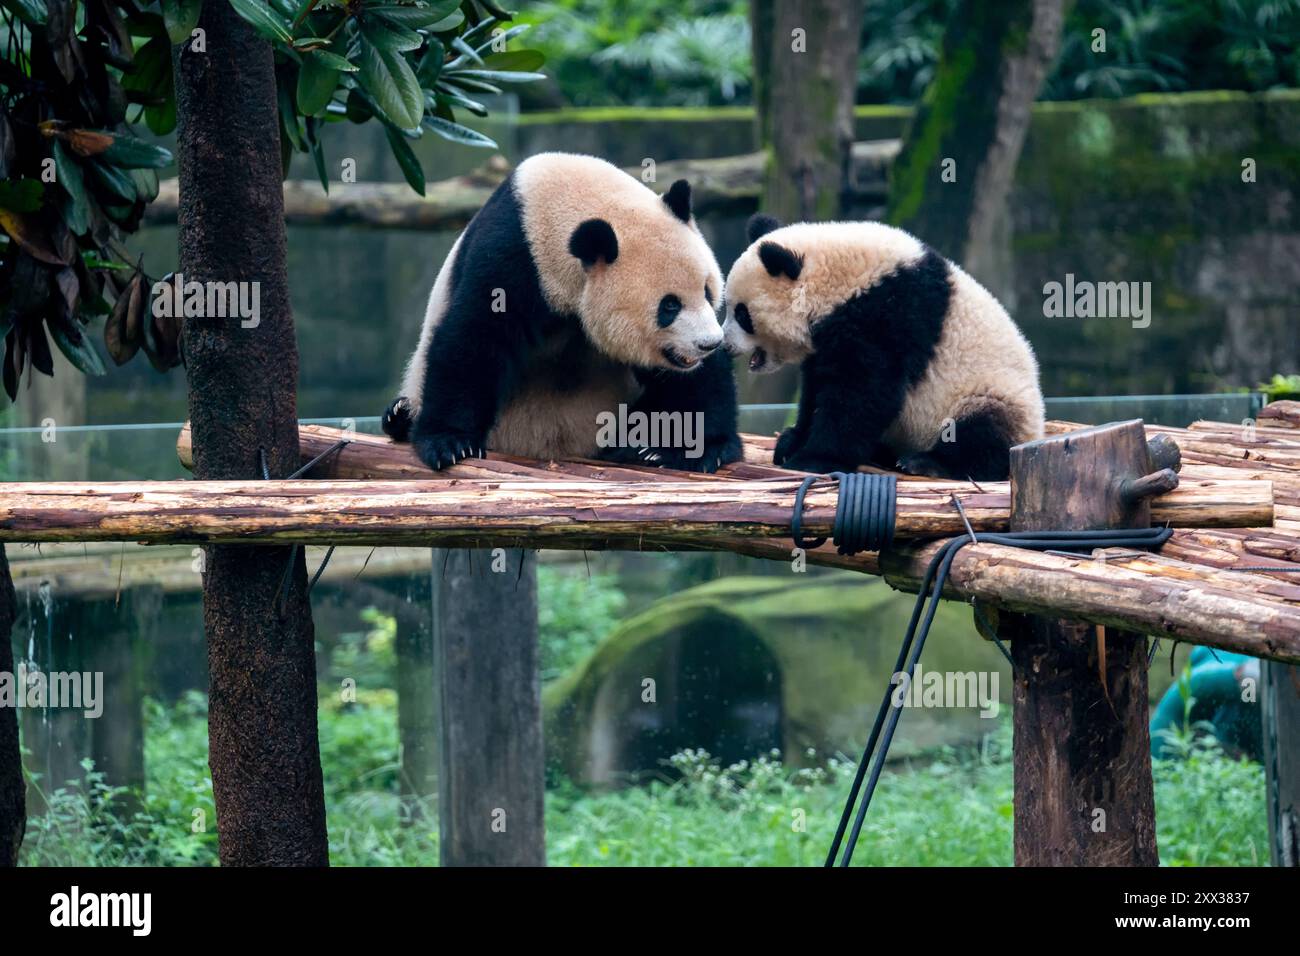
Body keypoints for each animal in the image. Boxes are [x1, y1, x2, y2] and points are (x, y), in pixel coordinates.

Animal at [383, 152, 742, 473]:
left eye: (708, 291)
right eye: (669, 306)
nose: (709, 344)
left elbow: (696, 381)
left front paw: (695, 447)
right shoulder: (511, 256)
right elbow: (474, 339)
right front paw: (449, 443)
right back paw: (400, 416)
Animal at [720, 215, 1044, 481]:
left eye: (741, 314)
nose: (725, 344)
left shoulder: (887, 316)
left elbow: (863, 392)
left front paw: (813, 459)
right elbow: (817, 388)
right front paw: (791, 441)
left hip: (993, 393)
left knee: (981, 430)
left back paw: (928, 463)